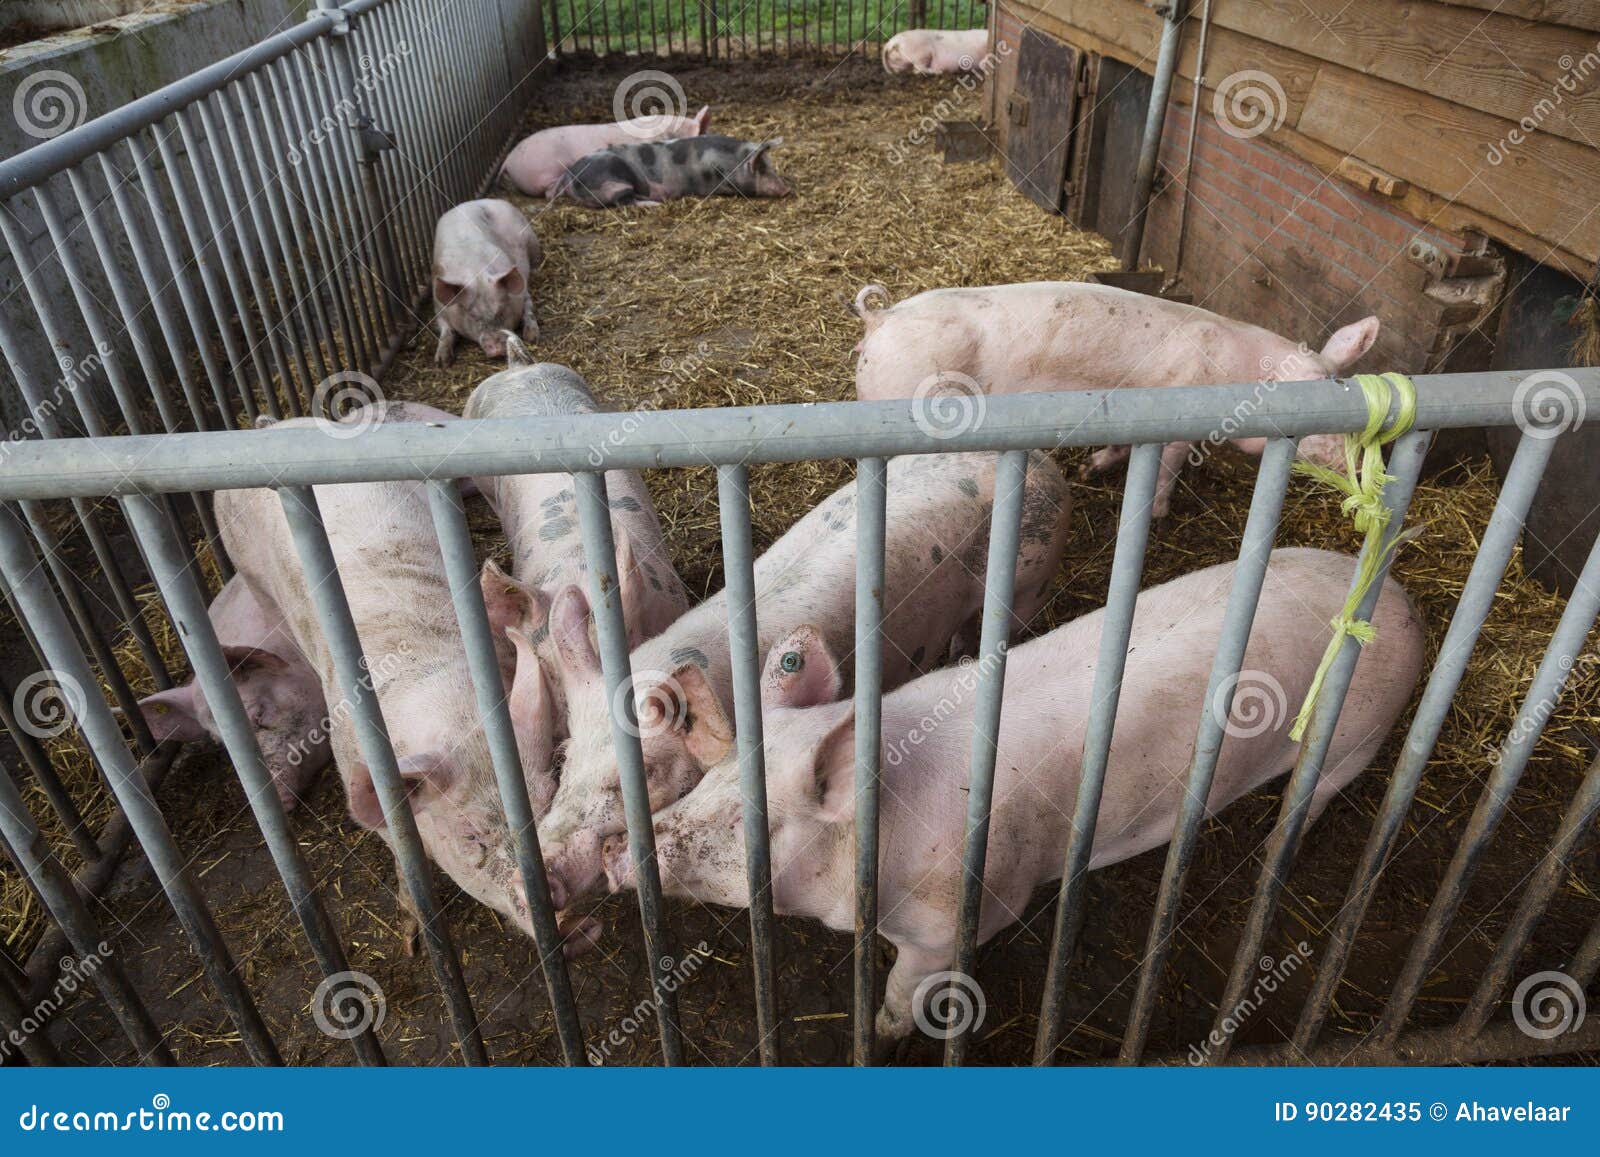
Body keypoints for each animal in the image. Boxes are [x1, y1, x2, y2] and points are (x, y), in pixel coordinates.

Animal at [215, 402, 548, 946]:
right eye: (471, 836)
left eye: (547, 805)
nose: (576, 920)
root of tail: (273, 426)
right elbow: (403, 856)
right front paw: (413, 936)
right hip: (250, 570)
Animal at [432, 199, 542, 366]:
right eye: (472, 315)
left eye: (501, 310)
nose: (496, 349)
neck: (476, 272)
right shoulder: (439, 307)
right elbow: (446, 330)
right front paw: (442, 363)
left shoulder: (523, 290)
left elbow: (529, 308)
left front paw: (532, 337)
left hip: (531, 238)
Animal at [551, 135, 790, 208]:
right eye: (761, 169)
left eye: (769, 165)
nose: (787, 190)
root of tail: (567, 176)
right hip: (612, 181)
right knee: (622, 201)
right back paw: (654, 204)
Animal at [604, 548, 1425, 1045]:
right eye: (709, 779)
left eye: (754, 822)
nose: (617, 849)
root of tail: (1404, 604)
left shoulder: (962, 917)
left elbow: (908, 986)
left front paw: (887, 1032)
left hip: (1357, 740)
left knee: (1315, 798)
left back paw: (1274, 840)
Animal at [852, 281, 1383, 519]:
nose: (1355, 466)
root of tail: (881, 318)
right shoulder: (1181, 419)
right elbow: (1169, 467)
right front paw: (1158, 513)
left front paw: (1093, 468)